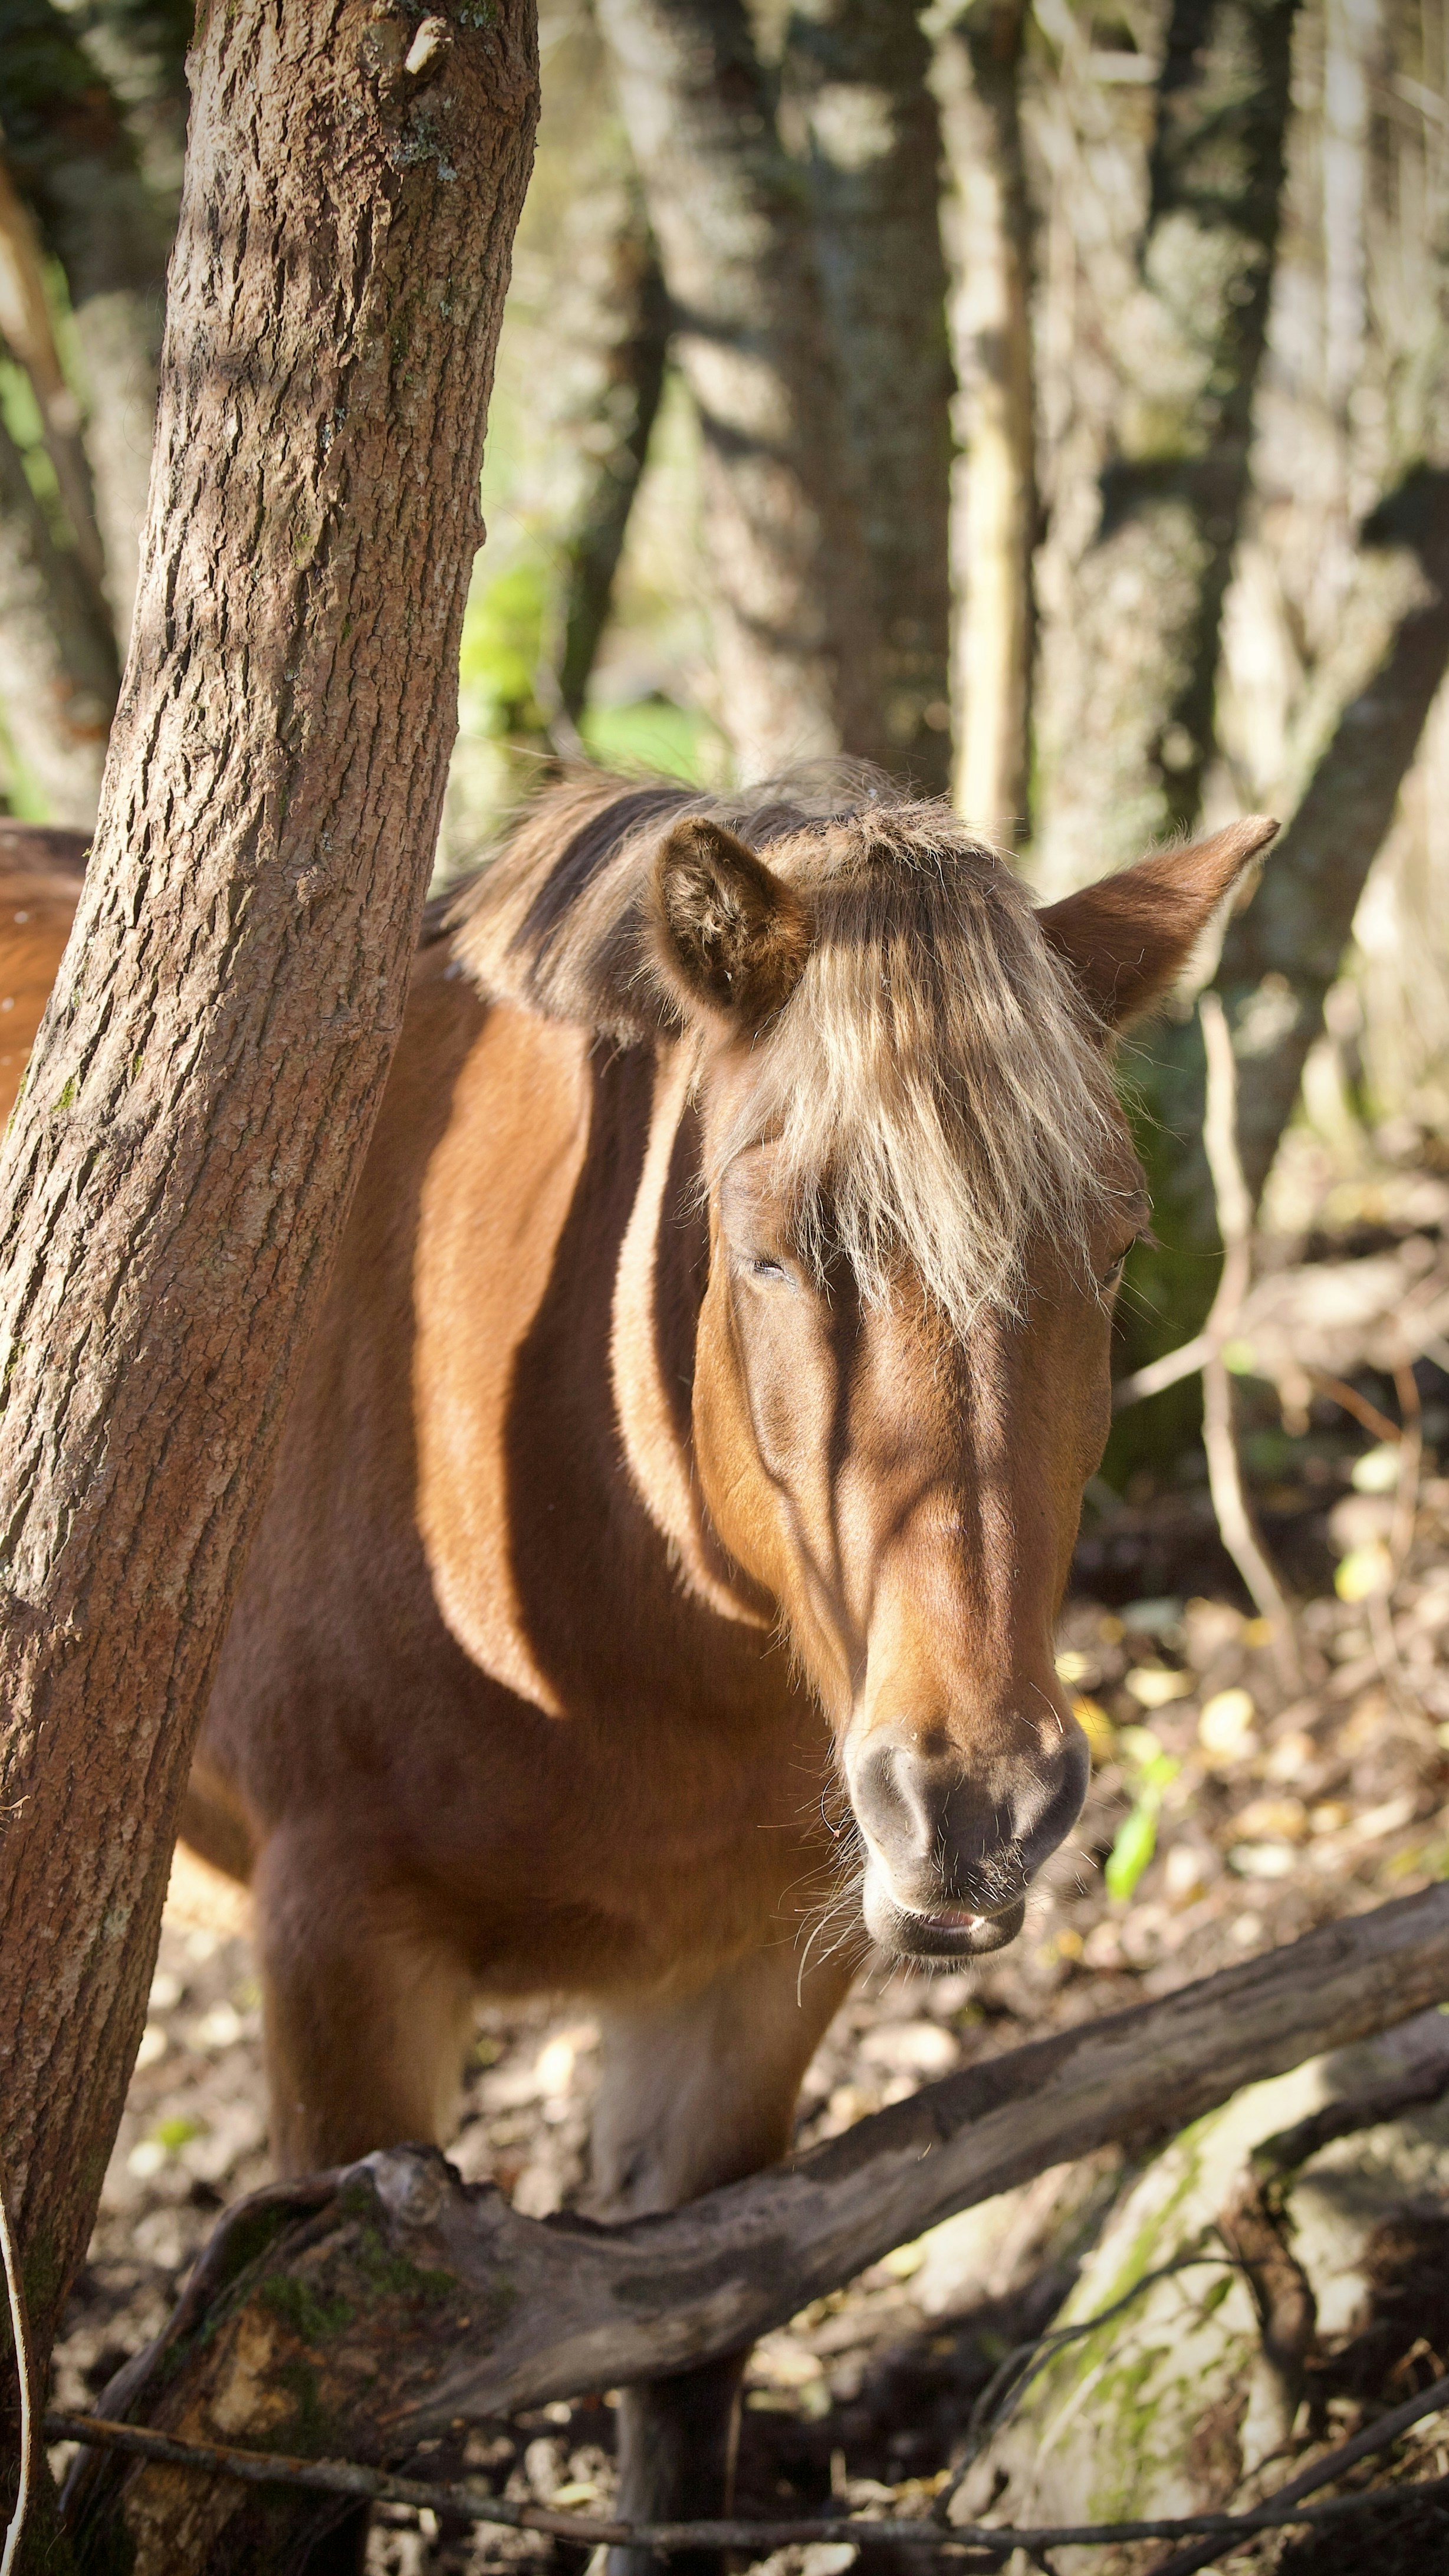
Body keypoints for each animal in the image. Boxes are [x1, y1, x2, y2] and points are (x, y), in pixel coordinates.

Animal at [4, 773, 1275, 2567]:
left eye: (1111, 1249)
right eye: (768, 1251)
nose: (977, 1808)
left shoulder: (743, 1994)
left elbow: (685, 2382)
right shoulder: (341, 1980)